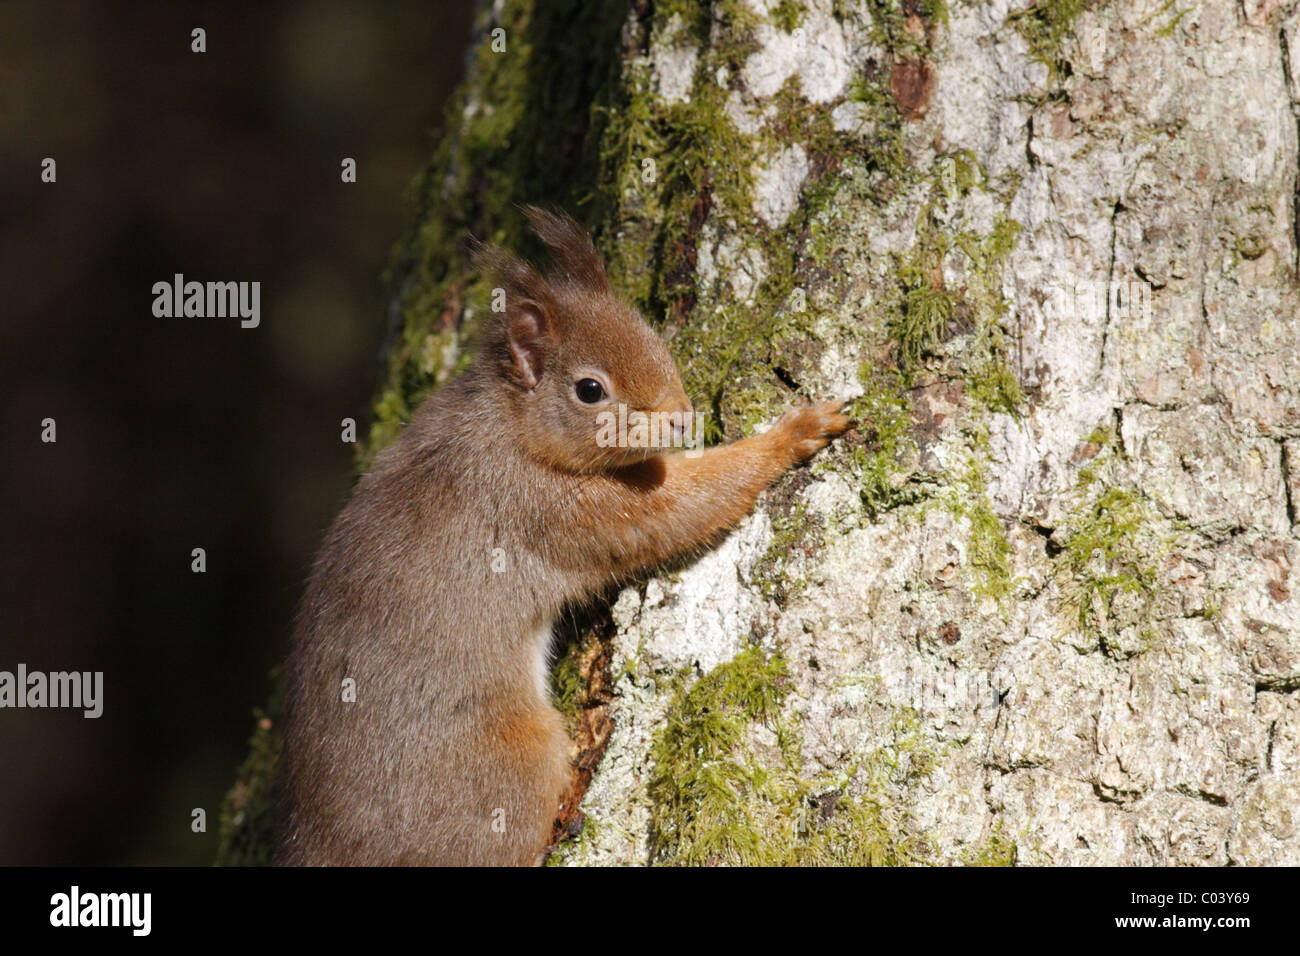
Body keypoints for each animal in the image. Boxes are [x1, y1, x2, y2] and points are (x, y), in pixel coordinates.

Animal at [274, 207, 851, 866]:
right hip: (509, 763)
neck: (512, 427)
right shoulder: (547, 509)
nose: (682, 418)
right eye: (590, 390)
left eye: (654, 335)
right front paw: (794, 433)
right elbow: (678, 508)